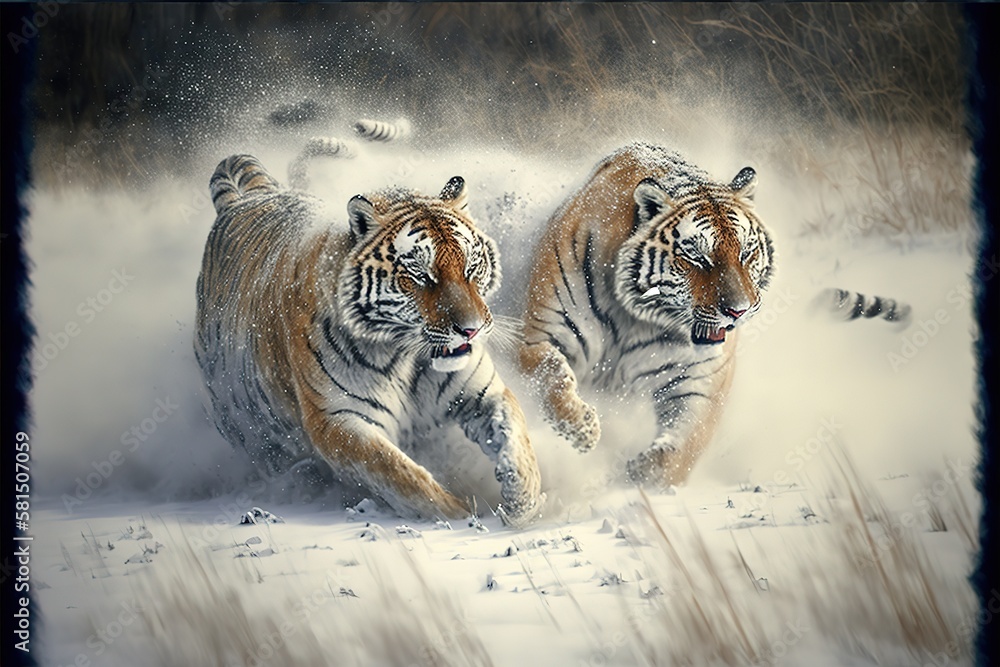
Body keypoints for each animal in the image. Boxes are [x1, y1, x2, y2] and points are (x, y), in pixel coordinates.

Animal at [195, 154, 543, 525]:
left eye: (471, 267)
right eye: (421, 276)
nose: (472, 329)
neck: (407, 355)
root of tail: (247, 196)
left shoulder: (483, 392)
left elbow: (517, 439)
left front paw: (523, 503)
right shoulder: (340, 420)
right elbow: (403, 475)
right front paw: (460, 516)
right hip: (249, 428)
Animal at [518, 143, 775, 488]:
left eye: (747, 252)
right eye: (697, 257)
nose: (739, 310)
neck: (635, 318)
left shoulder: (700, 379)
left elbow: (684, 446)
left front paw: (643, 476)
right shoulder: (543, 336)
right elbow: (552, 377)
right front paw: (583, 427)